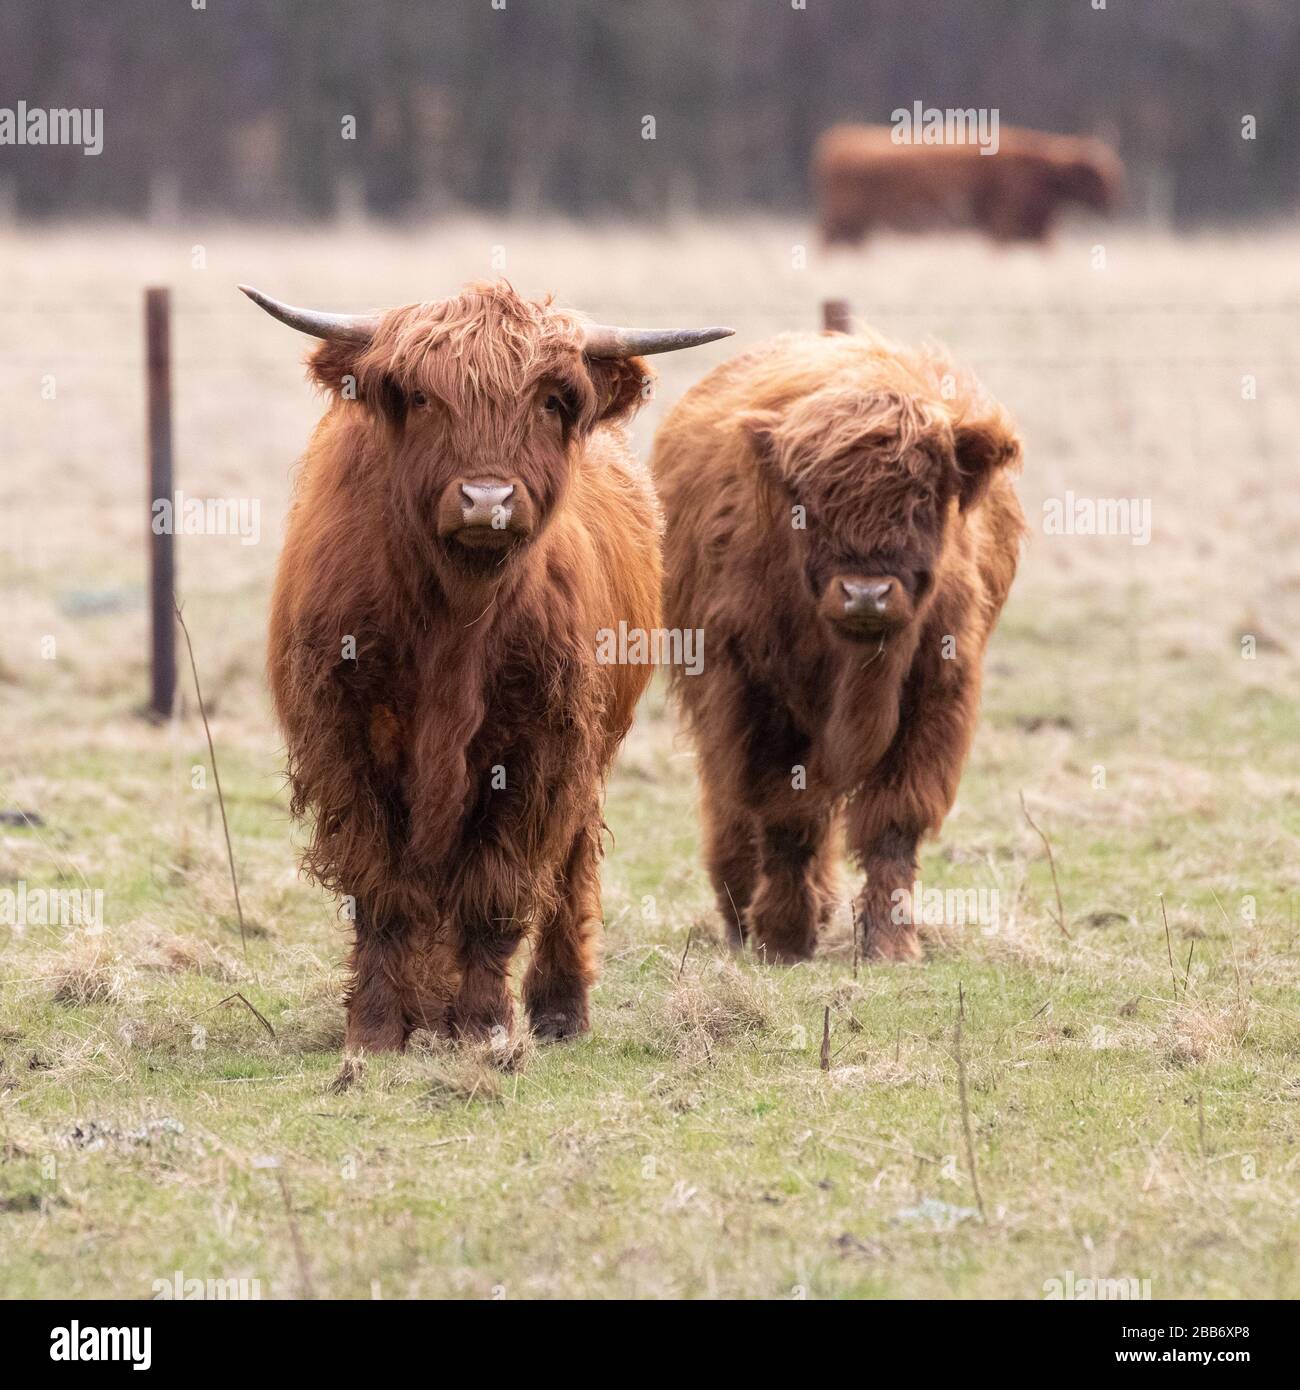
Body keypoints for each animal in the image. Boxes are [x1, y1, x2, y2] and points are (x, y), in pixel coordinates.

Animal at [244, 284, 734, 1061]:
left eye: (552, 400)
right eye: (420, 396)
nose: (485, 500)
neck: (456, 616)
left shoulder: (540, 749)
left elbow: (496, 892)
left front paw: (482, 1027)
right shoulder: (348, 743)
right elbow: (381, 890)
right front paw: (376, 1029)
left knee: (571, 865)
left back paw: (560, 1009)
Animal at [650, 328, 1028, 956]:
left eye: (923, 497)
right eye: (806, 503)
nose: (866, 593)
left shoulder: (936, 697)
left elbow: (893, 826)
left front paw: (891, 943)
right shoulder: (755, 696)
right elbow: (783, 814)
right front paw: (783, 934)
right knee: (730, 800)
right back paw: (738, 909)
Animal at [811, 123, 1128, 246]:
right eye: (1100, 175)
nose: (1115, 202)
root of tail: (843, 136)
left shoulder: (1038, 233)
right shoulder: (1004, 229)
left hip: (856, 231)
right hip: (840, 224)